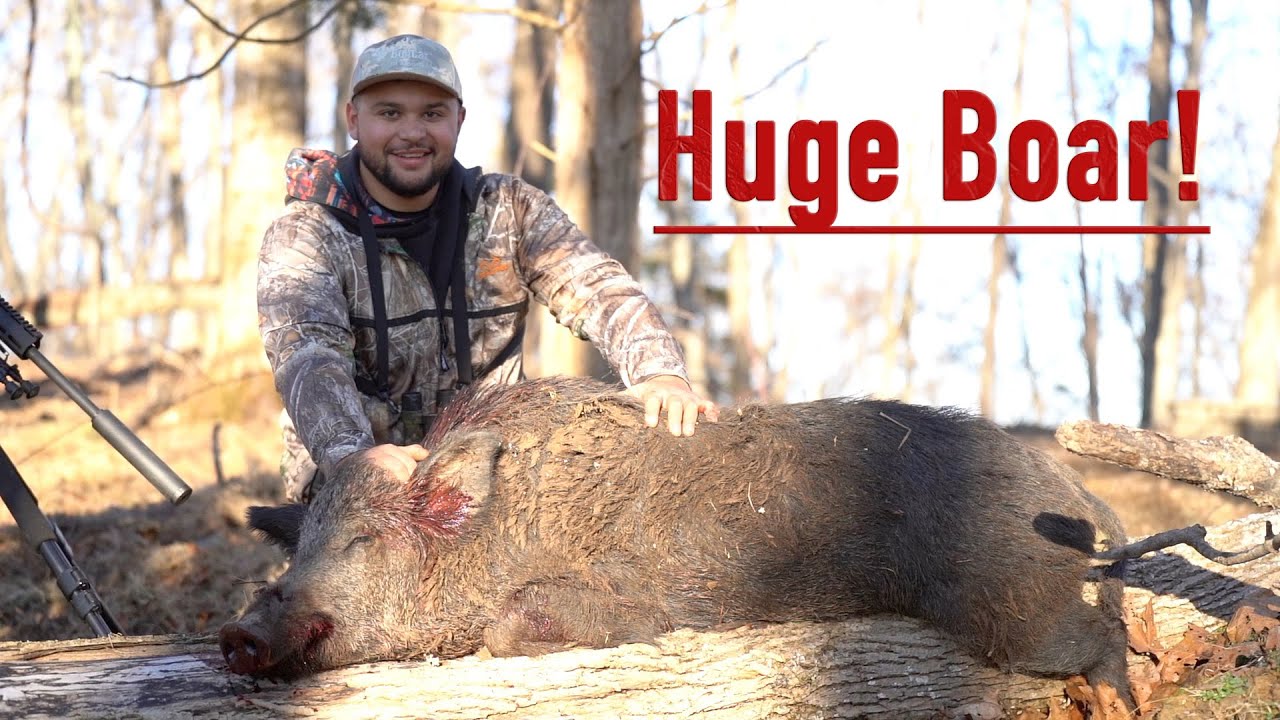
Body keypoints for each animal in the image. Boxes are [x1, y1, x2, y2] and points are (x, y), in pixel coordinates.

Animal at [221, 376, 1131, 701]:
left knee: (1102, 634)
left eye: (362, 542)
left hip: (1015, 606)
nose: (236, 630)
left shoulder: (633, 597)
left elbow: (509, 628)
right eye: (300, 542)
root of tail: (1073, 489)